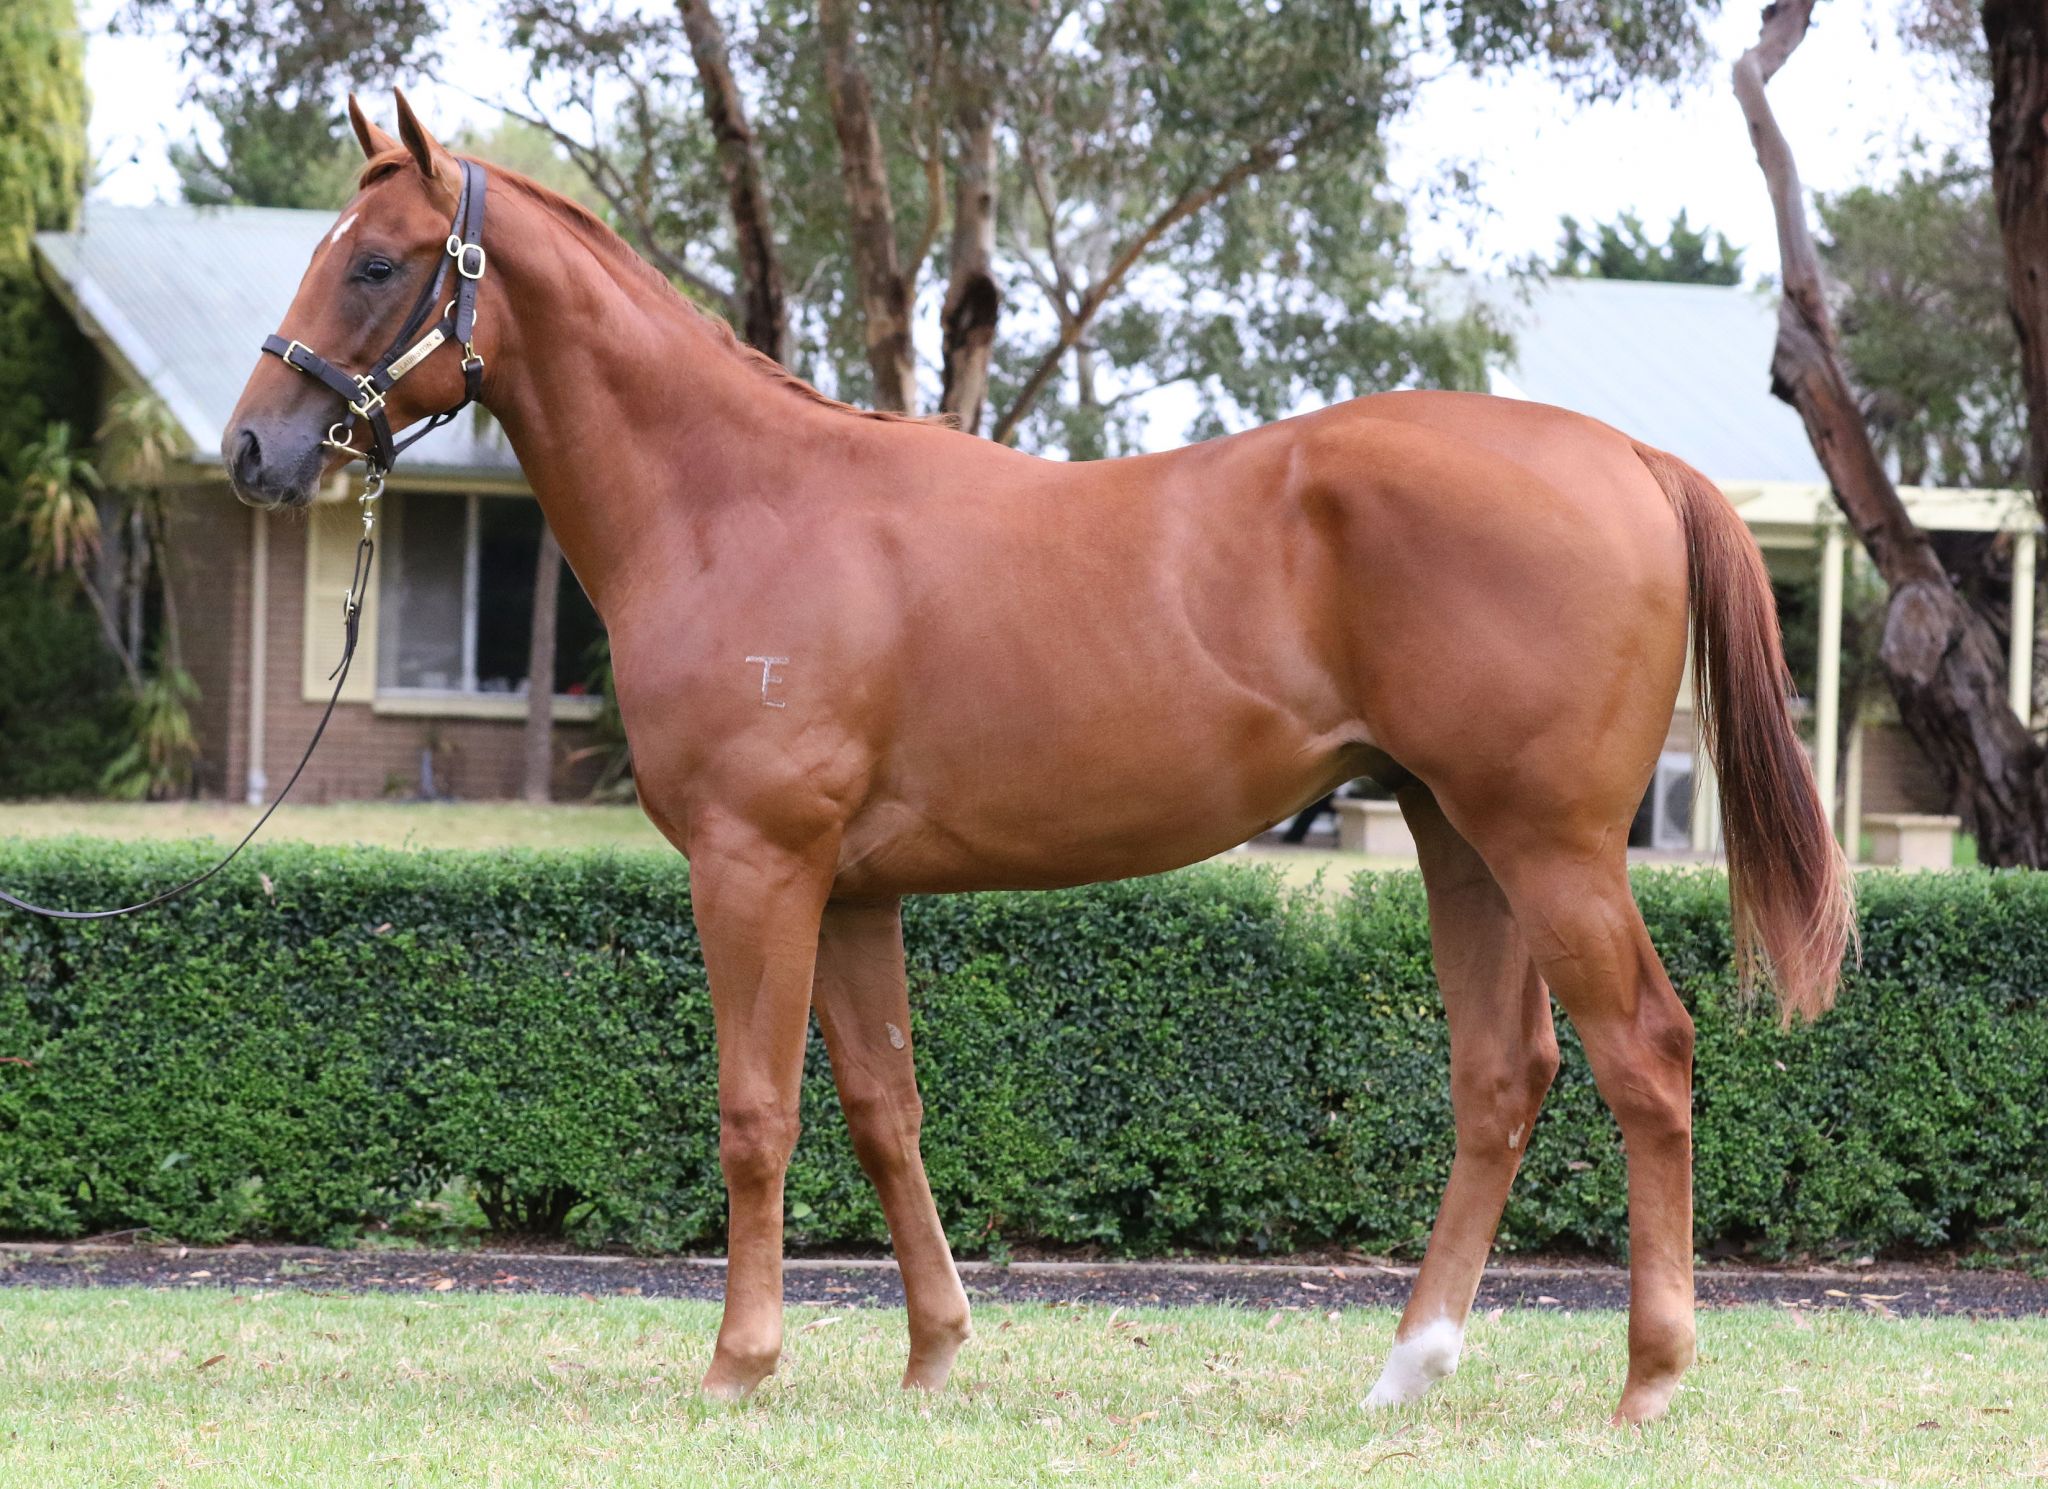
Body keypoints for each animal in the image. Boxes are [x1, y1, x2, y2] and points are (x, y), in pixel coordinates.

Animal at [223, 91, 1852, 1426]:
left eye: (377, 264)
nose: (254, 450)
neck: (740, 502)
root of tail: (1627, 457)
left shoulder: (757, 869)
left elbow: (757, 1114)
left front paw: (740, 1362)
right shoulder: (852, 891)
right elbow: (883, 1112)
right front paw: (935, 1349)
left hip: (1550, 843)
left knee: (1646, 1053)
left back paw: (1647, 1378)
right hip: (1459, 836)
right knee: (1503, 1075)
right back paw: (1409, 1364)